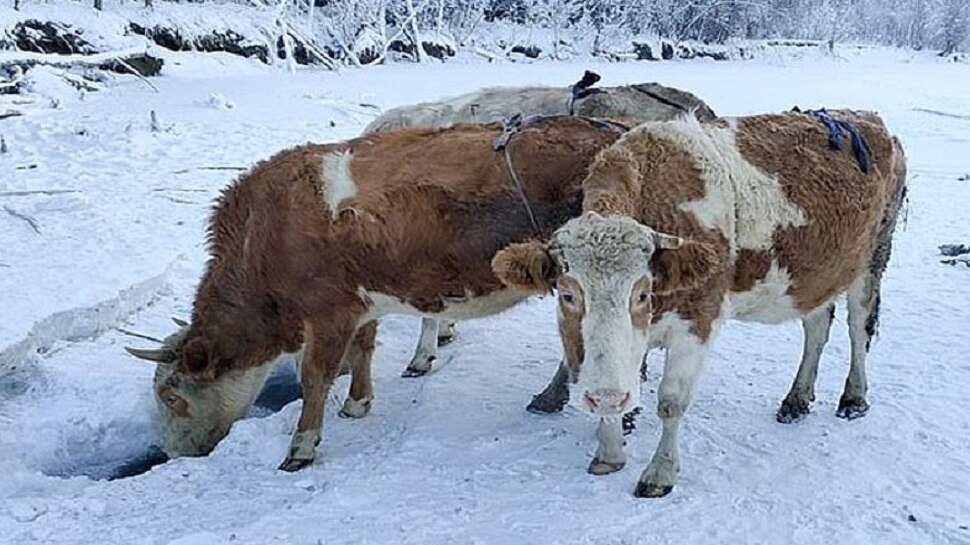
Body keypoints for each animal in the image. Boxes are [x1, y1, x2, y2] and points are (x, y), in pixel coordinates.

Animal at [125, 115, 626, 466]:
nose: (171, 454)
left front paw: (302, 447)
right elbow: (363, 349)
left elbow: (315, 377)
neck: (263, 235)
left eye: (171, 396)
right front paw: (357, 403)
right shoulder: (360, 304)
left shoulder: (327, 312)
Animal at [492, 110, 907, 497]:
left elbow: (671, 402)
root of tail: (870, 120)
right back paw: (796, 400)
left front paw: (659, 473)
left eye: (641, 293)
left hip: (872, 261)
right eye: (567, 294)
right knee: (817, 327)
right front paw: (609, 452)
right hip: (820, 273)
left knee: (859, 330)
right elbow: (620, 378)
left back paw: (854, 398)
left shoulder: (698, 321)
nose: (603, 398)